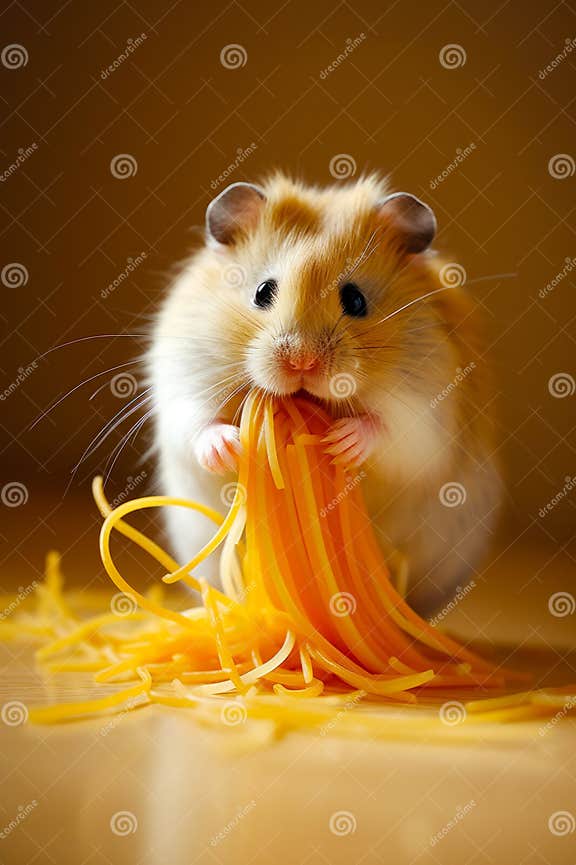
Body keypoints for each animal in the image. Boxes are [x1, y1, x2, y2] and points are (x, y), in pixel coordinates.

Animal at [148, 172, 501, 615]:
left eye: (355, 300)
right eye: (262, 291)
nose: (302, 363)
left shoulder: (426, 413)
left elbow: (389, 432)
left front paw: (340, 441)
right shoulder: (184, 380)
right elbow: (197, 424)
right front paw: (229, 447)